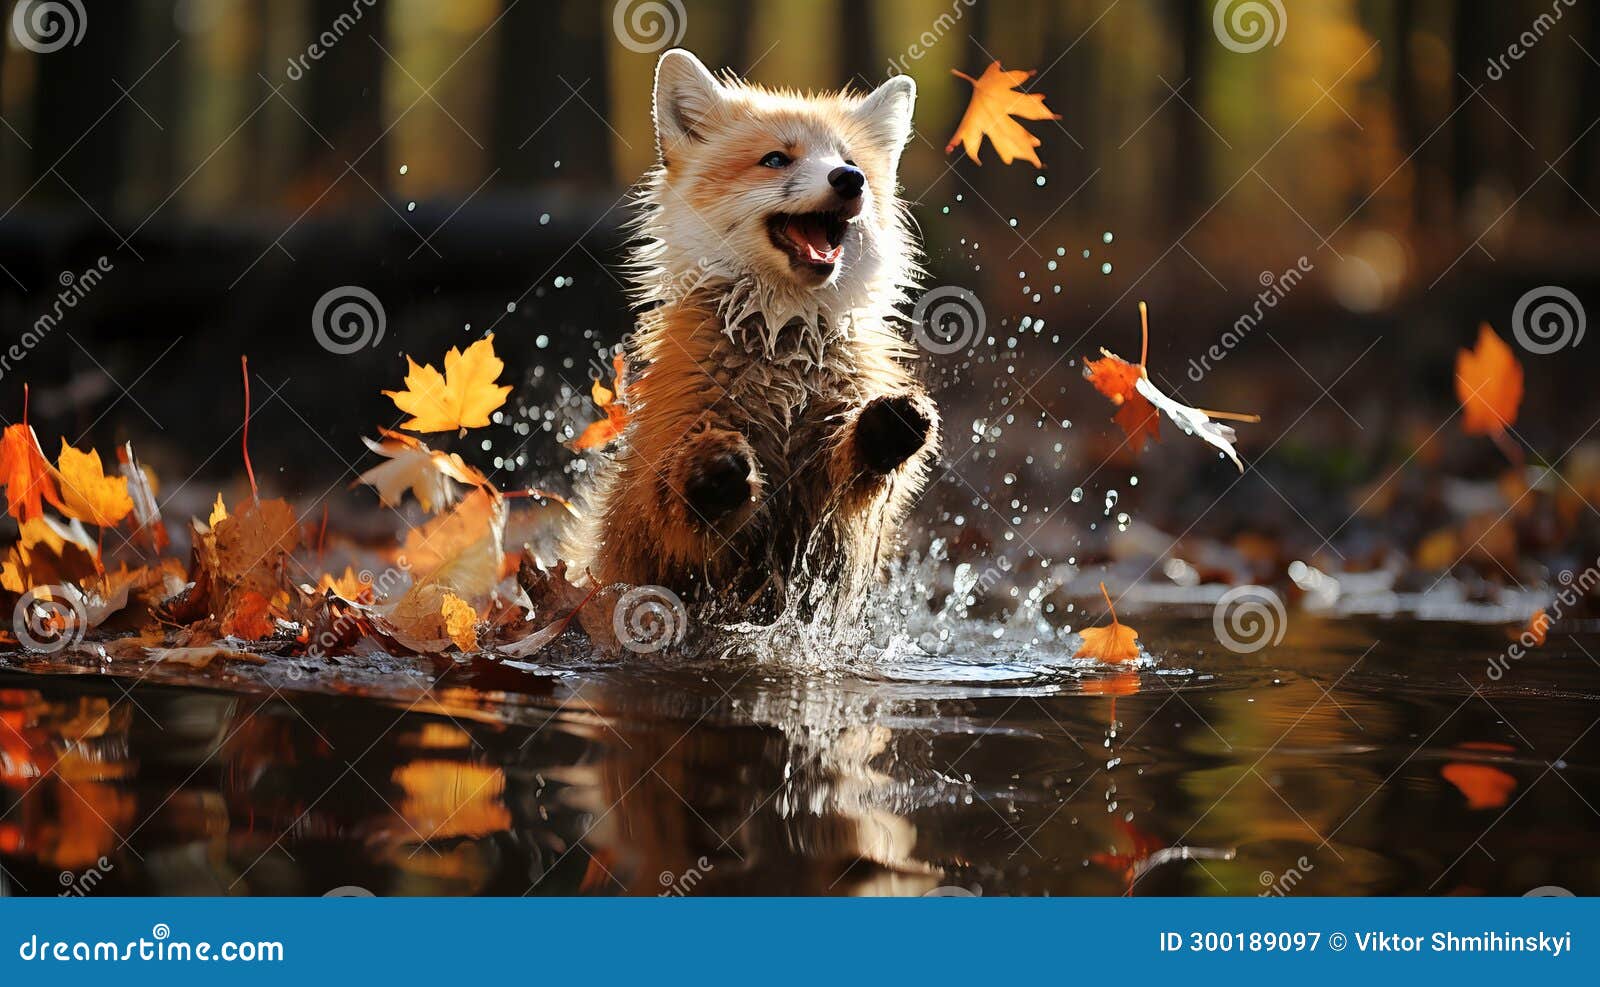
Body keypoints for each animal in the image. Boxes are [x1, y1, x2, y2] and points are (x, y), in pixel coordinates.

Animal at [569, 49, 939, 611]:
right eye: (776, 160)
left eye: (850, 159)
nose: (848, 179)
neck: (782, 357)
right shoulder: (665, 508)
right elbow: (673, 504)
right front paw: (713, 471)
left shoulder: (833, 514)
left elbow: (857, 470)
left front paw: (886, 426)